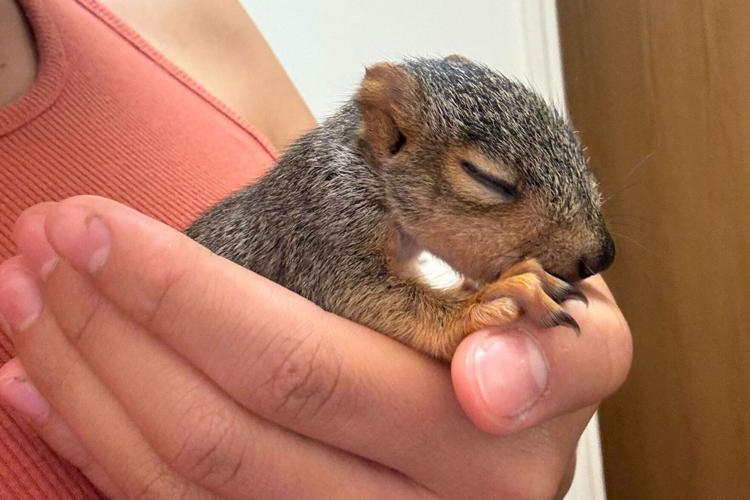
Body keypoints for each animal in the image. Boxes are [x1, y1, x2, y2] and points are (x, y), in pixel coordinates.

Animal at [186, 56, 615, 360]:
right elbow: (366, 294)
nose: (602, 255)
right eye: (486, 178)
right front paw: (490, 297)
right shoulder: (320, 230)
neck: (370, 175)